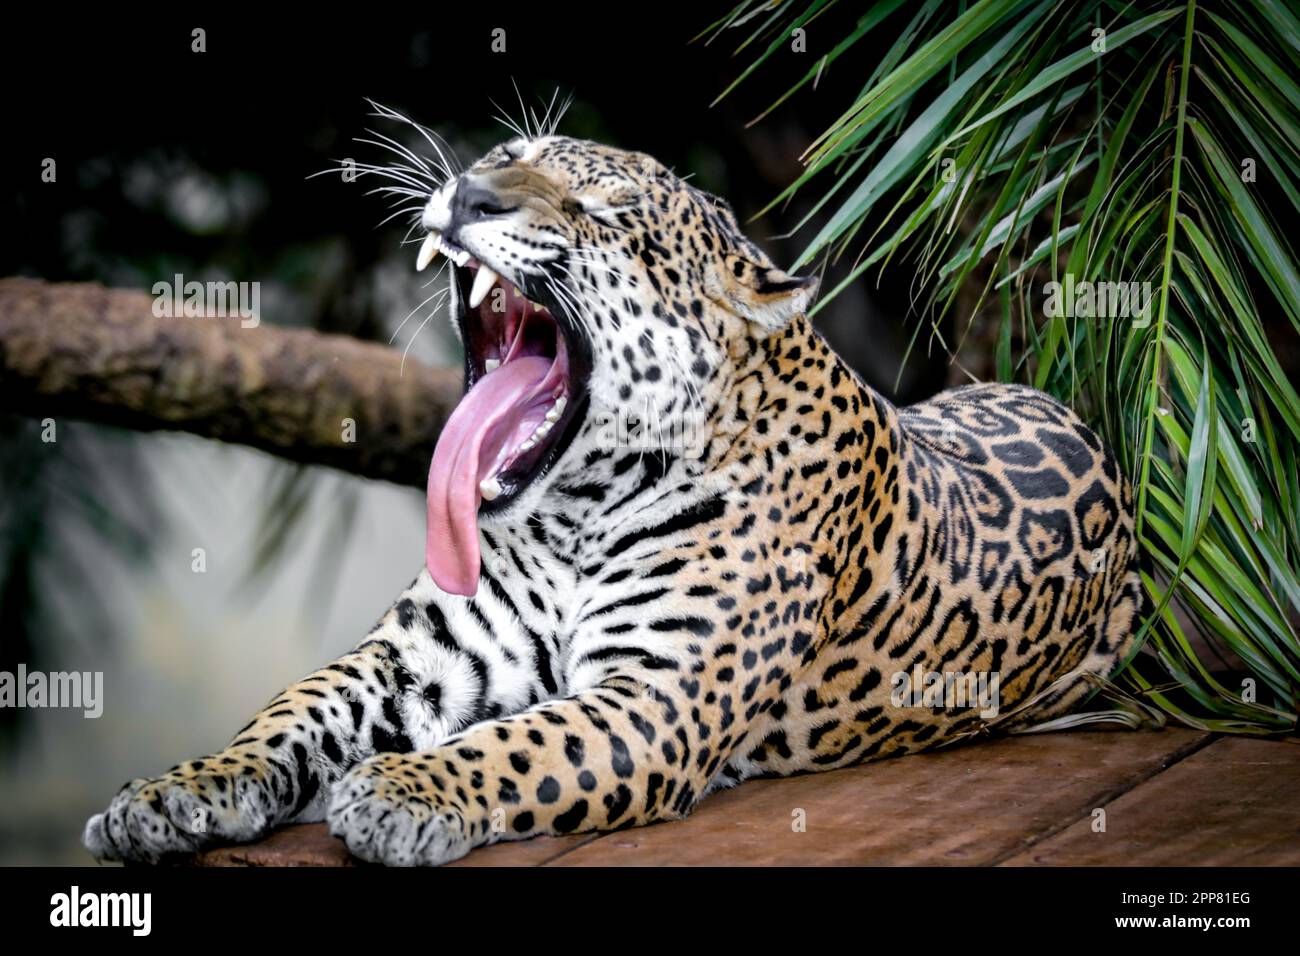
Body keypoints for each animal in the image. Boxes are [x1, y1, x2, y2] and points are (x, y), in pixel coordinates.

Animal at [83, 131, 1146, 866]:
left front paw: (403, 791)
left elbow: (514, 745)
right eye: (505, 157)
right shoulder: (418, 658)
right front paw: (172, 793)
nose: (469, 192)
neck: (568, 514)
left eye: (607, 210)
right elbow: (286, 714)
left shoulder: (653, 694)